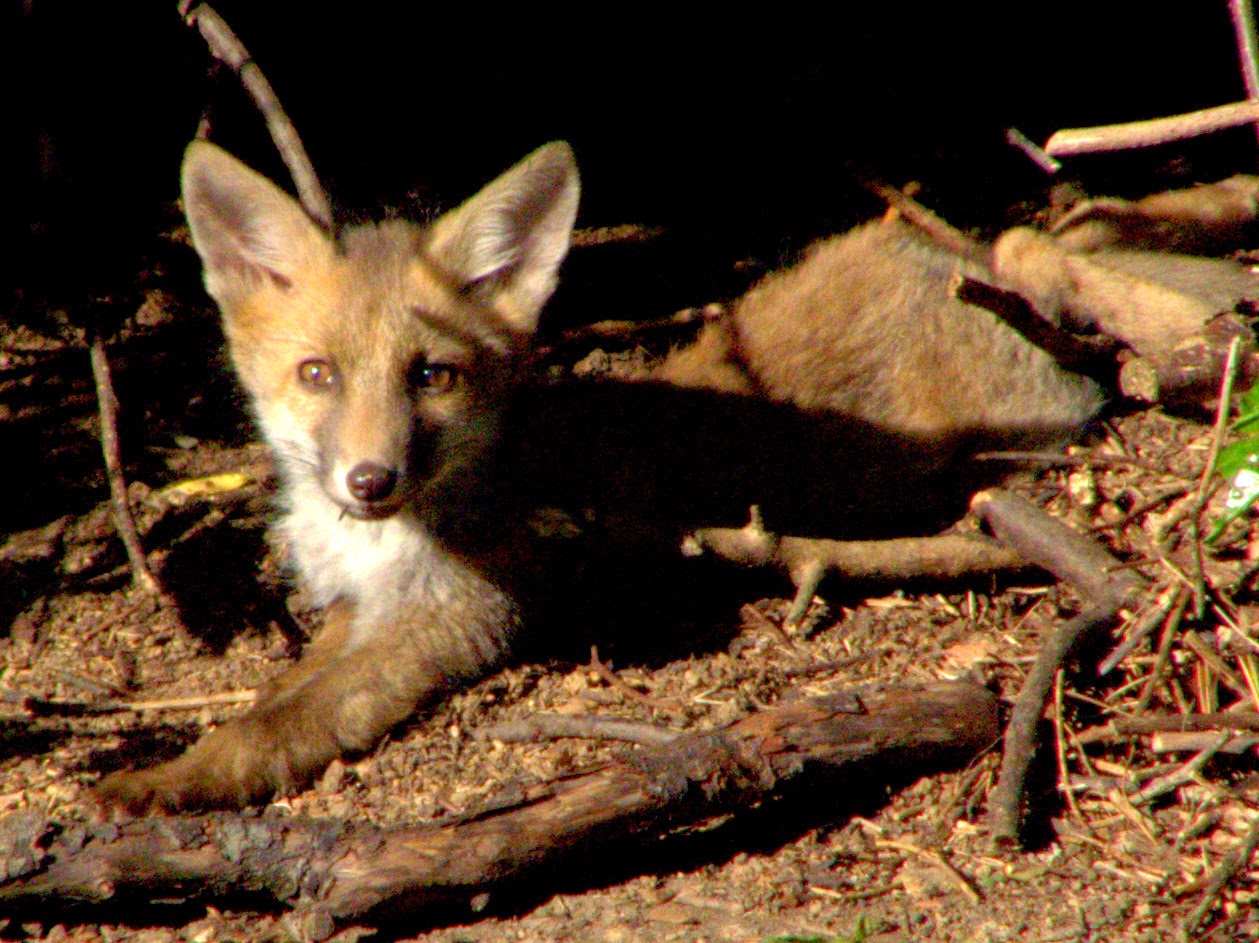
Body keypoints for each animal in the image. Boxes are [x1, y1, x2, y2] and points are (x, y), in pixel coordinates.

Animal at [96, 141, 1101, 814]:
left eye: (432, 376)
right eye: (318, 374)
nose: (371, 480)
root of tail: (955, 259)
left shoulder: (450, 618)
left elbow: (277, 724)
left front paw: (167, 782)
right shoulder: (366, 607)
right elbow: (277, 692)